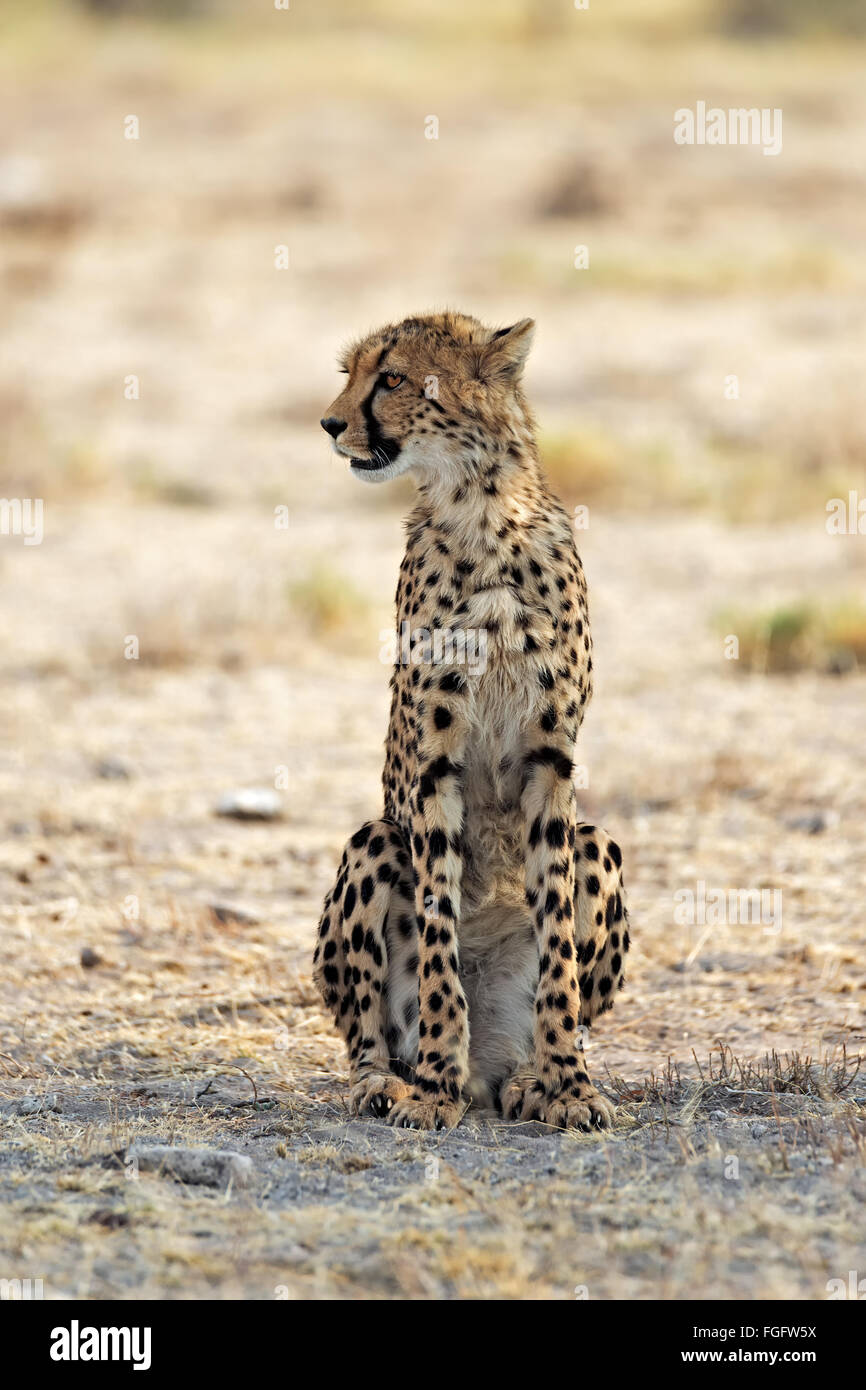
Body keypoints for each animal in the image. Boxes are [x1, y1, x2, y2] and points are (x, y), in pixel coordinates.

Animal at [312, 310, 630, 1131]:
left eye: (392, 378)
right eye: (349, 375)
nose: (329, 423)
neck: (484, 512)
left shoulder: (552, 761)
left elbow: (559, 951)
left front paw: (568, 1083)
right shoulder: (432, 765)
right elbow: (436, 942)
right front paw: (432, 1088)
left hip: (599, 842)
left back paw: (525, 1078)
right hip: (372, 840)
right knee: (367, 1031)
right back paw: (394, 1081)